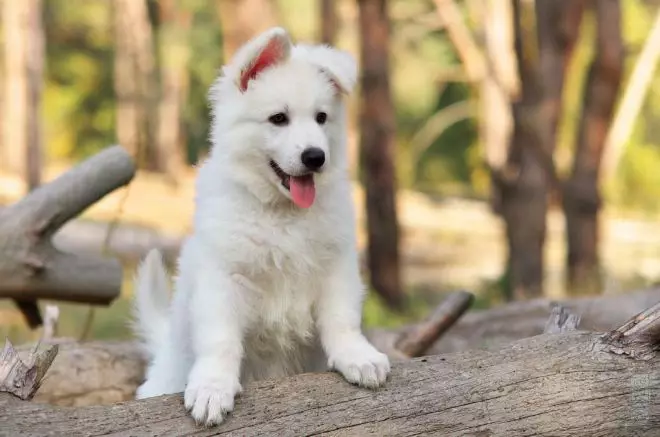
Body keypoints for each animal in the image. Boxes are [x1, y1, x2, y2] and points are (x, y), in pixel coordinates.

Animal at [135, 25, 392, 424]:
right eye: (278, 119)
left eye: (321, 118)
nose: (315, 157)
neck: (282, 213)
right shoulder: (222, 277)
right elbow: (220, 339)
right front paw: (212, 387)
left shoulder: (336, 266)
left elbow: (342, 318)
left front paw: (358, 357)